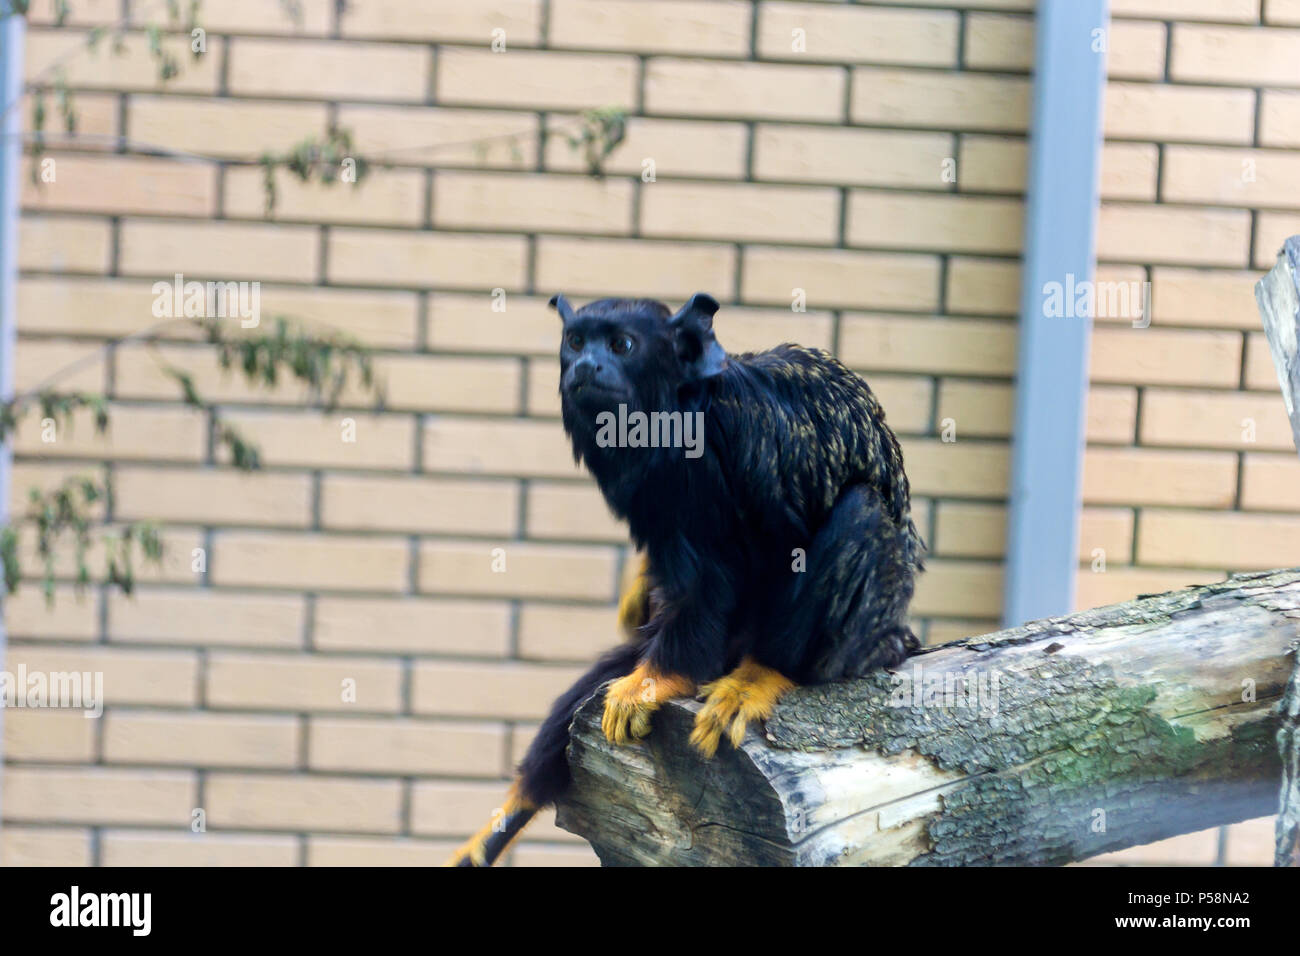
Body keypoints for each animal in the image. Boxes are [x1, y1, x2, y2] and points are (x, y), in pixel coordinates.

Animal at [446, 292, 924, 867]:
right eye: (576, 342)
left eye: (621, 345)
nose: (586, 367)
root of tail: (895, 633)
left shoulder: (709, 456)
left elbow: (713, 579)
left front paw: (656, 680)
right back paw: (500, 825)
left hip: (864, 633)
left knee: (861, 511)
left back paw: (763, 672)